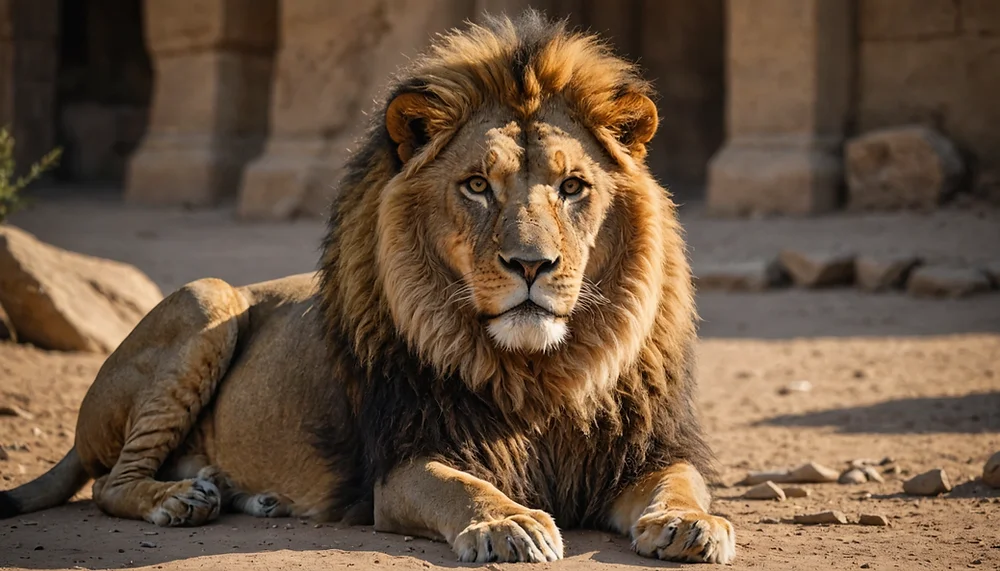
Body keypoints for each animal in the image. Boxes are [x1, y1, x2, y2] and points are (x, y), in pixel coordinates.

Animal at [0, 10, 735, 564]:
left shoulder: (640, 450)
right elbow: (460, 488)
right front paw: (508, 523)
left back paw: (234, 489)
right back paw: (180, 499)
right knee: (110, 483)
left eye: (573, 186)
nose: (531, 265)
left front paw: (694, 523)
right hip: (209, 295)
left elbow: (684, 480)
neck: (540, 374)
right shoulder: (406, 459)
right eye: (477, 185)